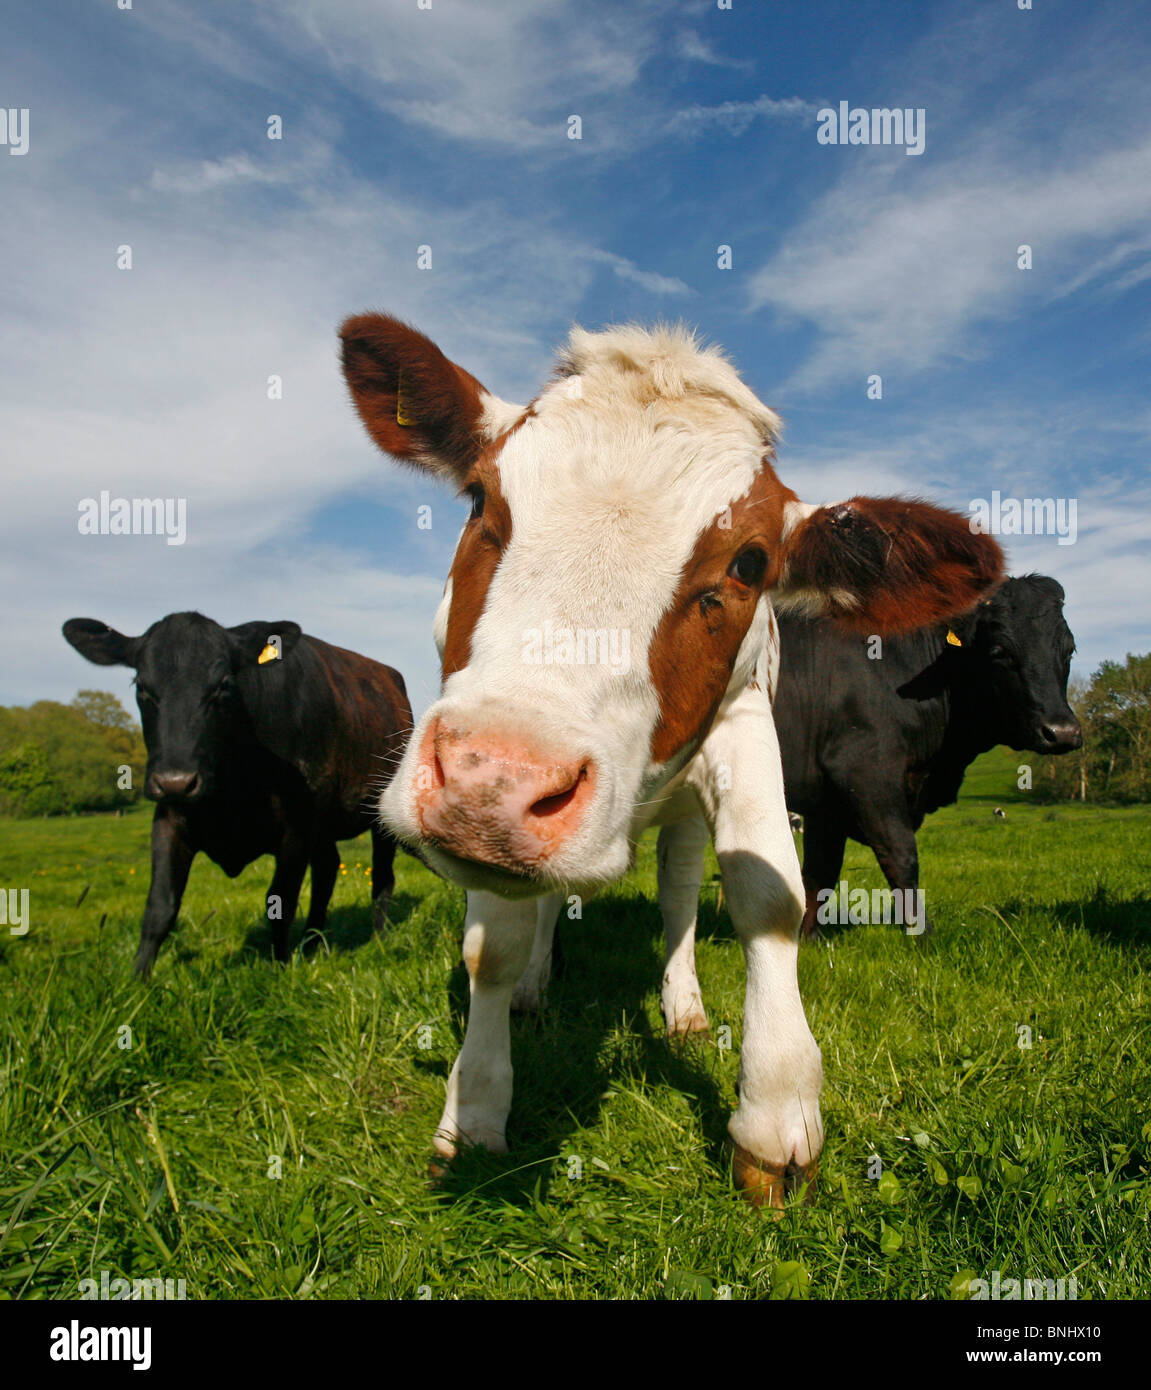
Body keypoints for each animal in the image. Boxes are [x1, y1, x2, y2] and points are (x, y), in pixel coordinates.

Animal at [62, 611, 412, 976]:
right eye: (142, 688)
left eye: (224, 686)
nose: (176, 781)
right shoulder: (169, 819)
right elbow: (160, 907)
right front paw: (137, 980)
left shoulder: (295, 828)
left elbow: (281, 901)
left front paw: (280, 970)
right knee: (327, 870)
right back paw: (311, 943)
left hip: (381, 816)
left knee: (381, 877)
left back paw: (378, 939)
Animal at [339, 311, 1004, 1207]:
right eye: (480, 498)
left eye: (750, 563)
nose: (495, 780)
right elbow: (494, 946)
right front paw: (474, 1108)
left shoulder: (745, 719)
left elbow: (767, 894)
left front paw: (776, 1115)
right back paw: (537, 986)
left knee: (680, 891)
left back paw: (682, 1004)